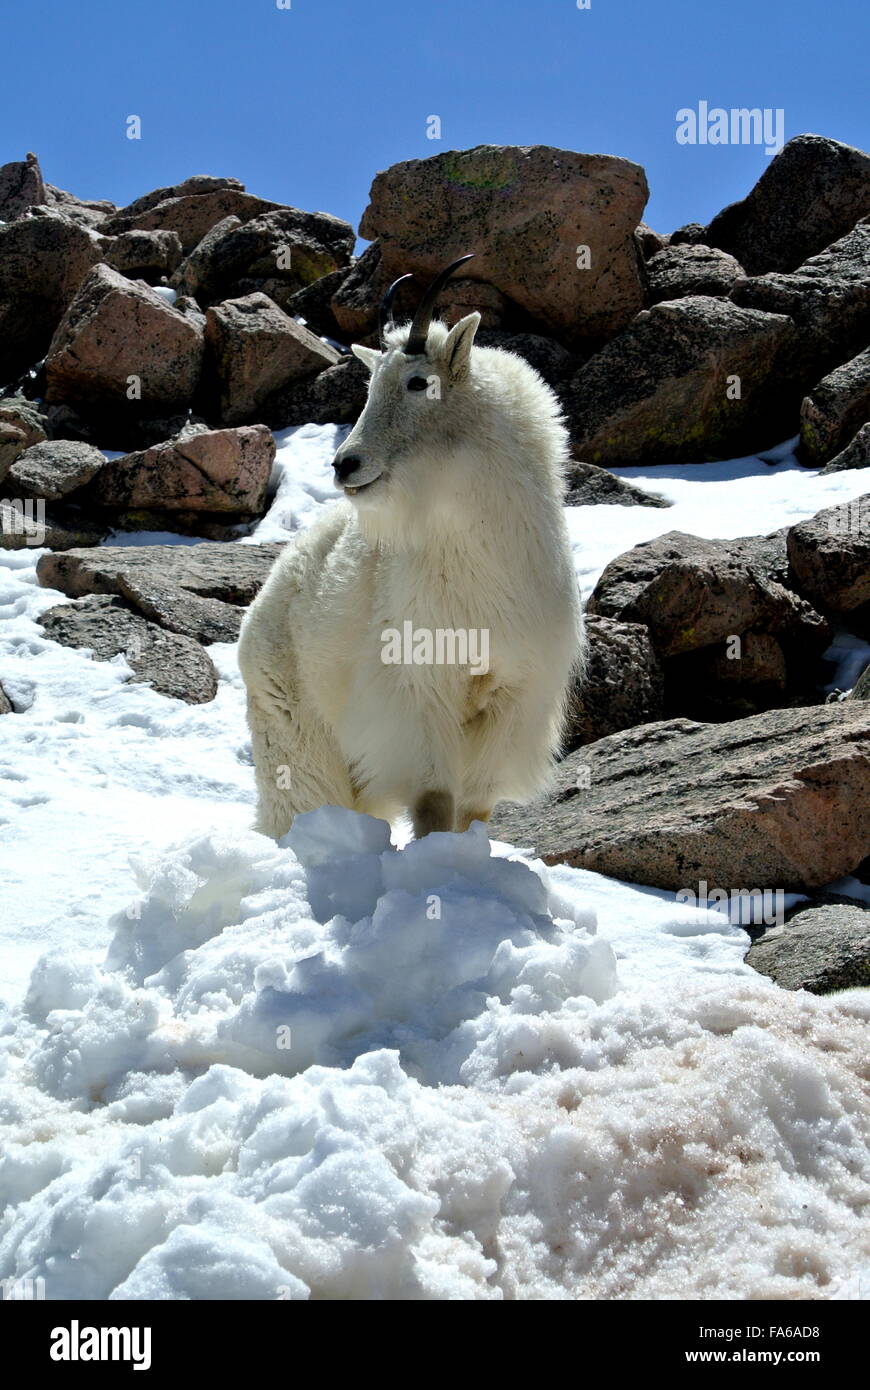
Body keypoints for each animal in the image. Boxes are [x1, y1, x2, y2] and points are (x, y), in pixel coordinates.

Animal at [238, 255, 583, 840]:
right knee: (300, 806)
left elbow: (474, 807)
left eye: (419, 382)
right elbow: (434, 802)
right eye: (371, 384)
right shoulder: (418, 699)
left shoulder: (512, 697)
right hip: (298, 738)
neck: (475, 558)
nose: (345, 464)